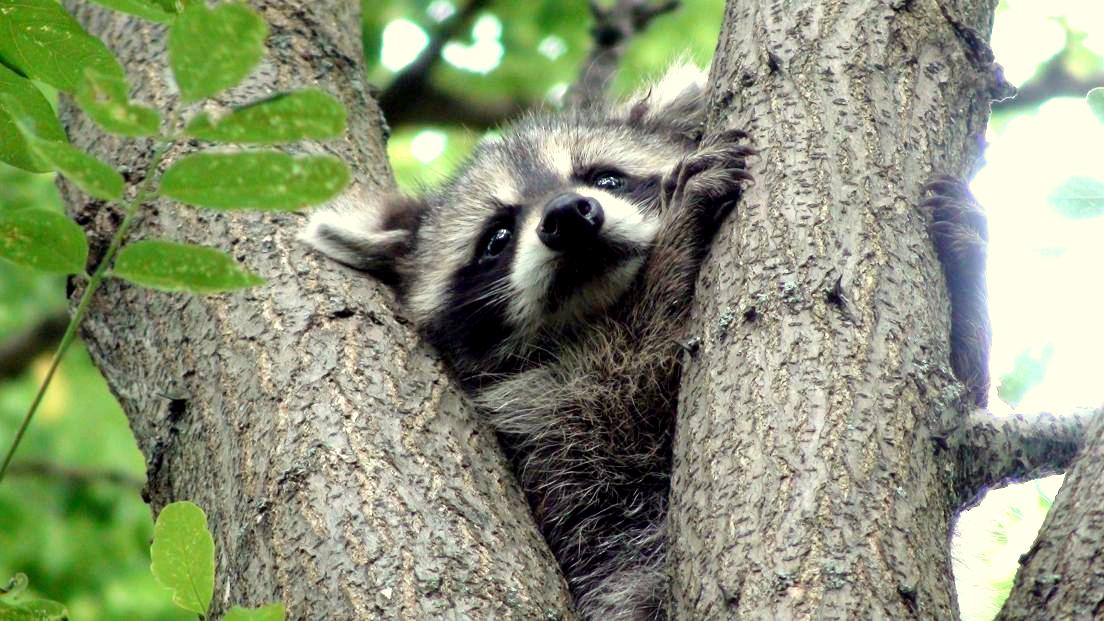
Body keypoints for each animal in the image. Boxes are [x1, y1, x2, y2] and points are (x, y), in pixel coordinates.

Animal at [303, 62, 751, 619]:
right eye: (496, 238)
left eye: (606, 178)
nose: (569, 216)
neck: (597, 311)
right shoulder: (557, 440)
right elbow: (621, 416)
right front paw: (672, 248)